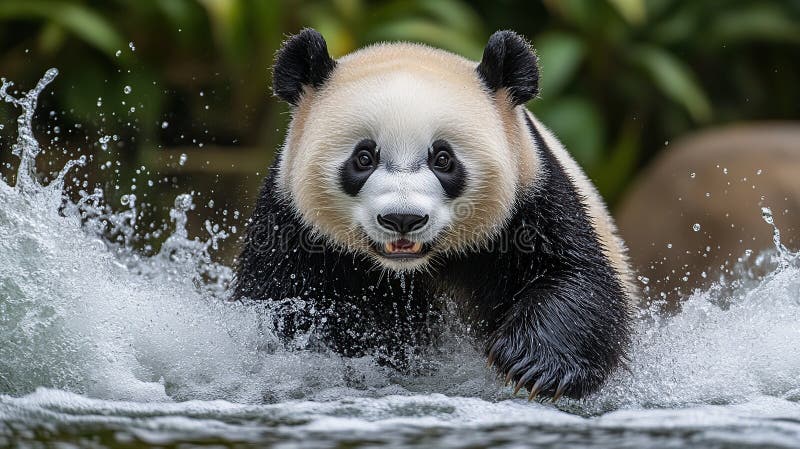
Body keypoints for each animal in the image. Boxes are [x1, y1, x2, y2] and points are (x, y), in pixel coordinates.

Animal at [234, 28, 636, 401]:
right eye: (363, 158)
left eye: (443, 159)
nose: (402, 219)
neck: (409, 269)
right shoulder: (291, 223)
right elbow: (279, 303)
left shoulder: (532, 194)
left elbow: (575, 277)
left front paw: (533, 366)